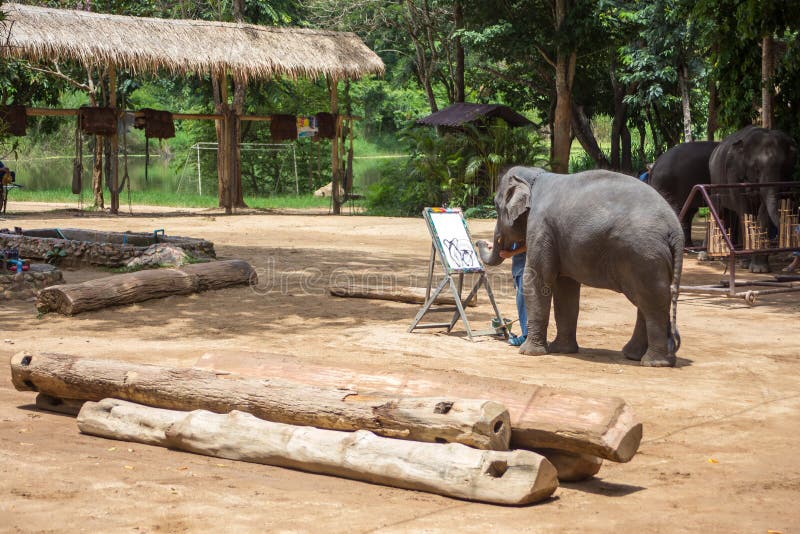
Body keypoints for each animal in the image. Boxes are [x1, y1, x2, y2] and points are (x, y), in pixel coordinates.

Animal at [476, 166, 684, 367]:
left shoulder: (541, 226)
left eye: (496, 206)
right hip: (652, 259)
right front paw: (562, 350)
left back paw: (653, 362)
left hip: (644, 255)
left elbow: (538, 279)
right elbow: (565, 289)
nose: (481, 242)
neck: (535, 175)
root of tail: (675, 229)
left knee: (651, 301)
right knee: (647, 300)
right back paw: (637, 356)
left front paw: (529, 353)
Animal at [709, 126, 797, 273]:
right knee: (719, 210)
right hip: (715, 183)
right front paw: (756, 267)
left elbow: (763, 211)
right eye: (756, 168)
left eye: (782, 167)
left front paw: (760, 269)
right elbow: (744, 209)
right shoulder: (733, 174)